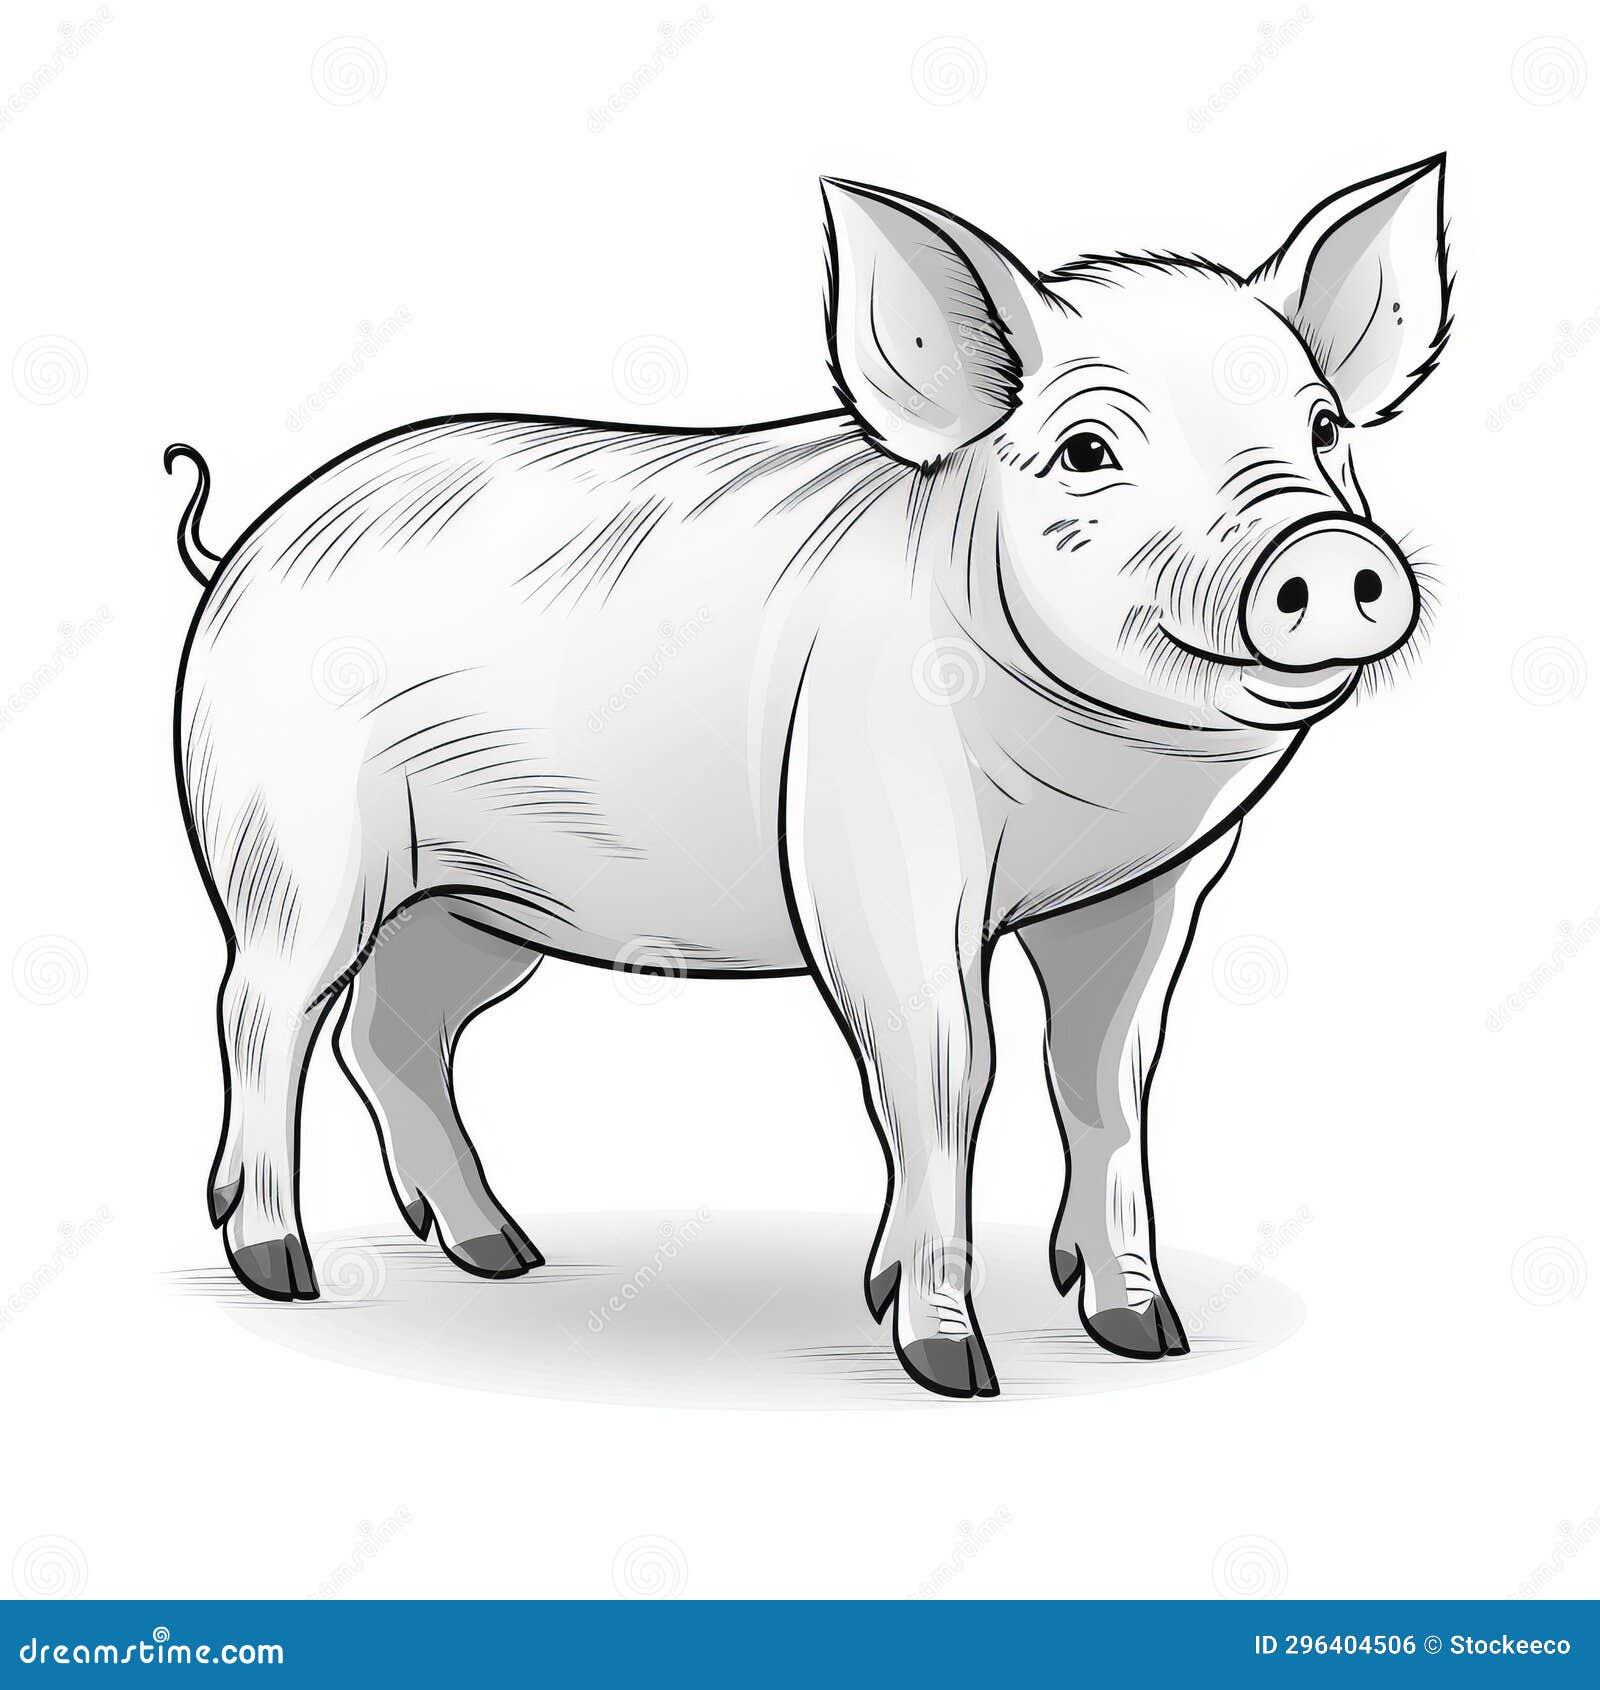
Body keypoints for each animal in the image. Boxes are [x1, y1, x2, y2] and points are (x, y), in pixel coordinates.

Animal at [170, 158, 1449, 1397]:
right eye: (1089, 450)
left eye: (1324, 428)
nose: (1327, 550)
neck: (1090, 788)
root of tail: (241, 548)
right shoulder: (874, 847)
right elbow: (946, 1067)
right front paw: (952, 1366)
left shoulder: (1152, 886)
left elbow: (1103, 1078)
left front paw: (1146, 1335)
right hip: (293, 848)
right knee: (263, 1010)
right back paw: (283, 1269)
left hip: (472, 905)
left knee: (392, 1031)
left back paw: (501, 1251)